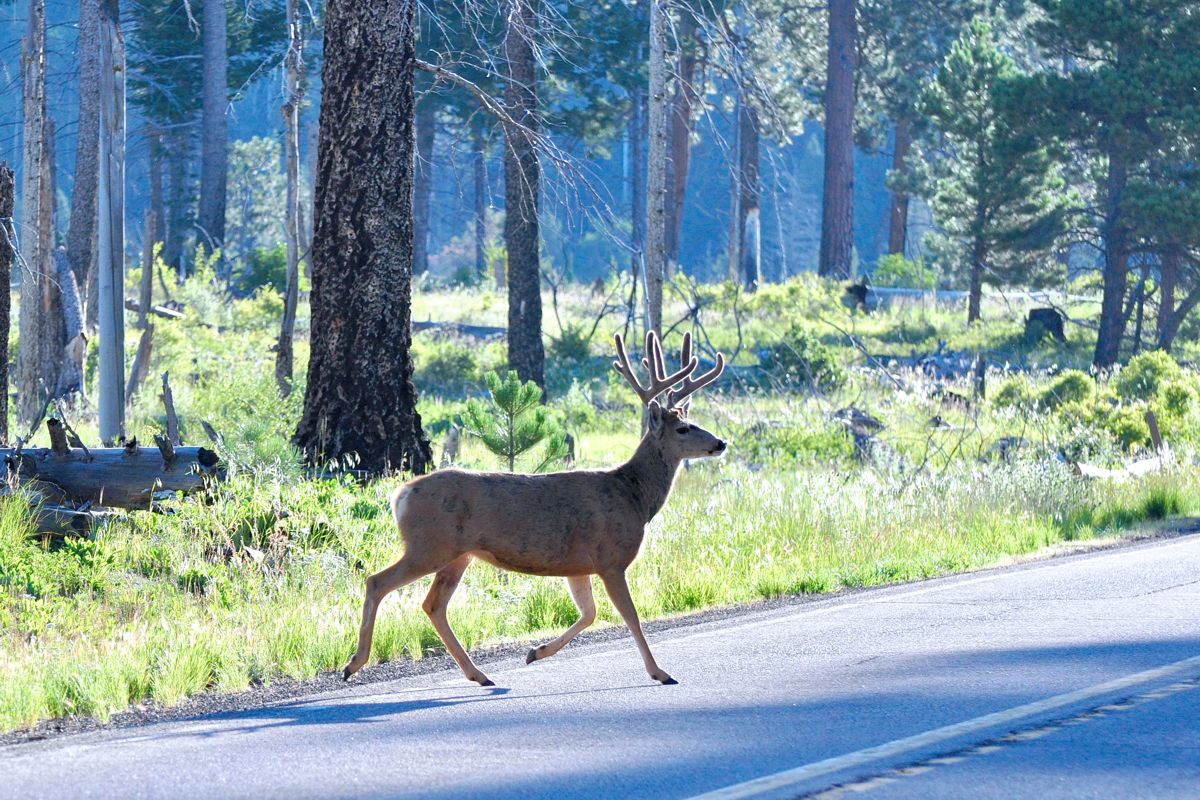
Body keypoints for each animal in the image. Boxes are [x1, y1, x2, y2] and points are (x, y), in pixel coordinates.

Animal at [342, 330, 726, 687]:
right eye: (683, 428)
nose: (721, 442)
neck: (635, 497)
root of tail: (400, 496)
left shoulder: (579, 565)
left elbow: (589, 613)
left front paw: (535, 651)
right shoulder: (611, 558)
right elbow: (629, 616)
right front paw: (660, 672)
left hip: (457, 554)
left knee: (433, 605)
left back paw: (479, 674)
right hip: (429, 545)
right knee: (377, 582)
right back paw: (354, 664)